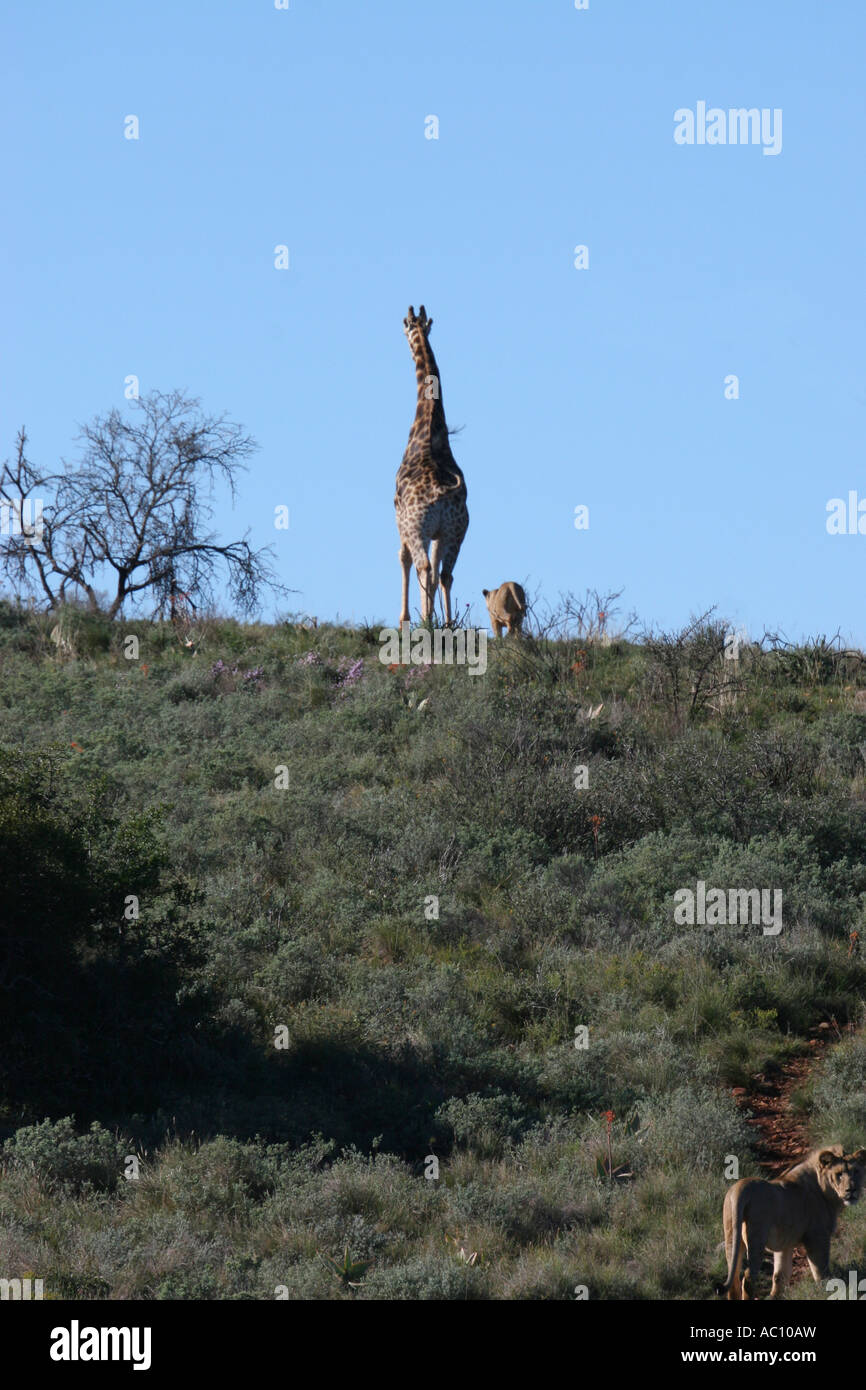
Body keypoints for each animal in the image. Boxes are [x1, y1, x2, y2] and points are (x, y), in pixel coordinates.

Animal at [719, 1145, 865, 1299]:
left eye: (856, 1171)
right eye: (839, 1174)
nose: (852, 1190)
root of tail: (740, 1187)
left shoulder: (785, 1244)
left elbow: (780, 1276)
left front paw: (775, 1296)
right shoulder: (817, 1237)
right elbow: (820, 1270)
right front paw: (827, 1290)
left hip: (731, 1237)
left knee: (734, 1276)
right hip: (756, 1238)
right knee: (748, 1276)